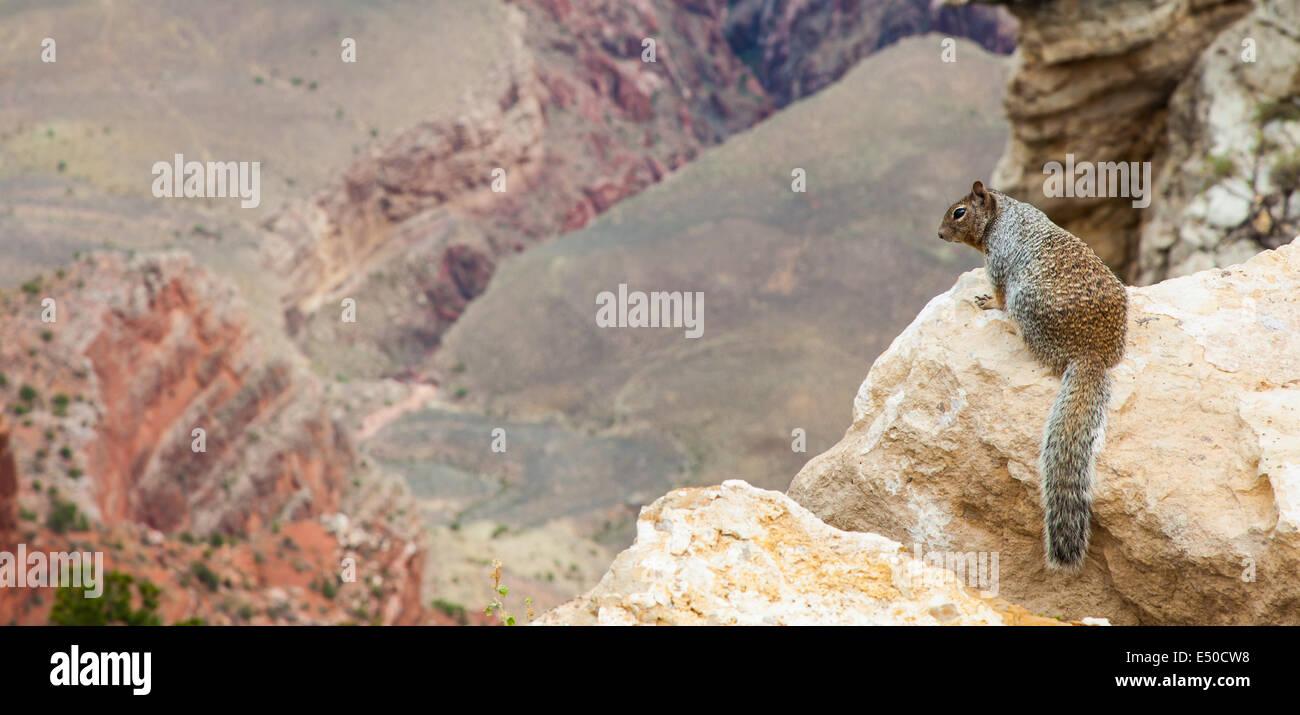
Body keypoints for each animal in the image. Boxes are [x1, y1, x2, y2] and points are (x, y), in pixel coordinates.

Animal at [937, 181, 1127, 572]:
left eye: (958, 213)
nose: (939, 233)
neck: (1002, 213)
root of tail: (1094, 354)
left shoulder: (997, 260)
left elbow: (996, 289)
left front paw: (986, 302)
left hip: (1025, 307)